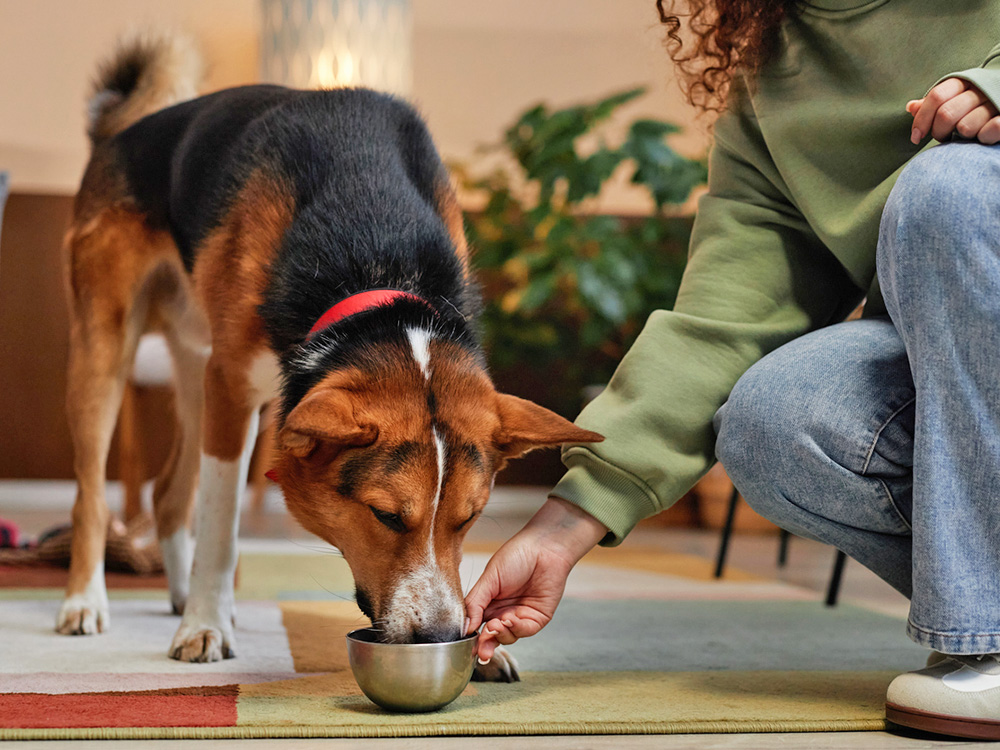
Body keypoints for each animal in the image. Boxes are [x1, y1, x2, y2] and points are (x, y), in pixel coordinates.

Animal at [58, 33, 600, 680]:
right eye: (386, 515)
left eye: (469, 519)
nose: (442, 635)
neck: (376, 261)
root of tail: (121, 130)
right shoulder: (231, 389)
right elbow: (221, 527)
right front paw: (205, 626)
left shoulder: (224, 386)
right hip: (106, 353)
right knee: (93, 496)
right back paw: (86, 602)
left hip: (193, 364)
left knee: (168, 495)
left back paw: (179, 595)